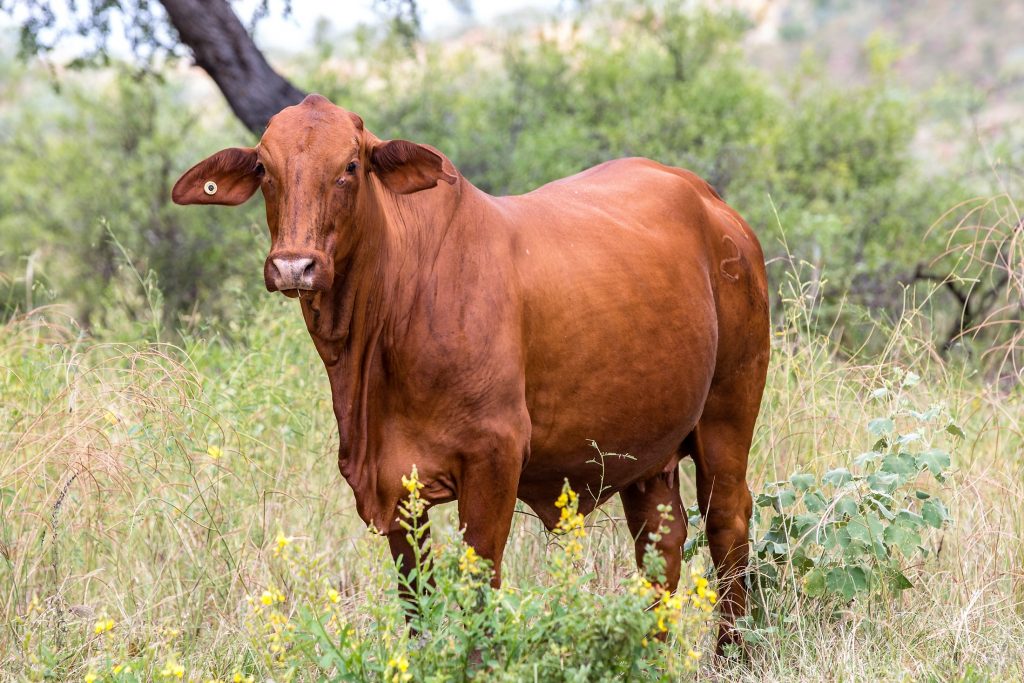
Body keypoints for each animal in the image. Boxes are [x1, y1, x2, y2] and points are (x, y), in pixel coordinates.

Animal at [172, 94, 769, 651]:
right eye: (265, 169)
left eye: (351, 165)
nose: (294, 265)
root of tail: (713, 204)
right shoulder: (396, 487)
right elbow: (417, 604)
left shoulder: (493, 461)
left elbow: (479, 595)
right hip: (647, 451)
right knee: (660, 542)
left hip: (728, 415)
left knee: (727, 520)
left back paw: (731, 655)